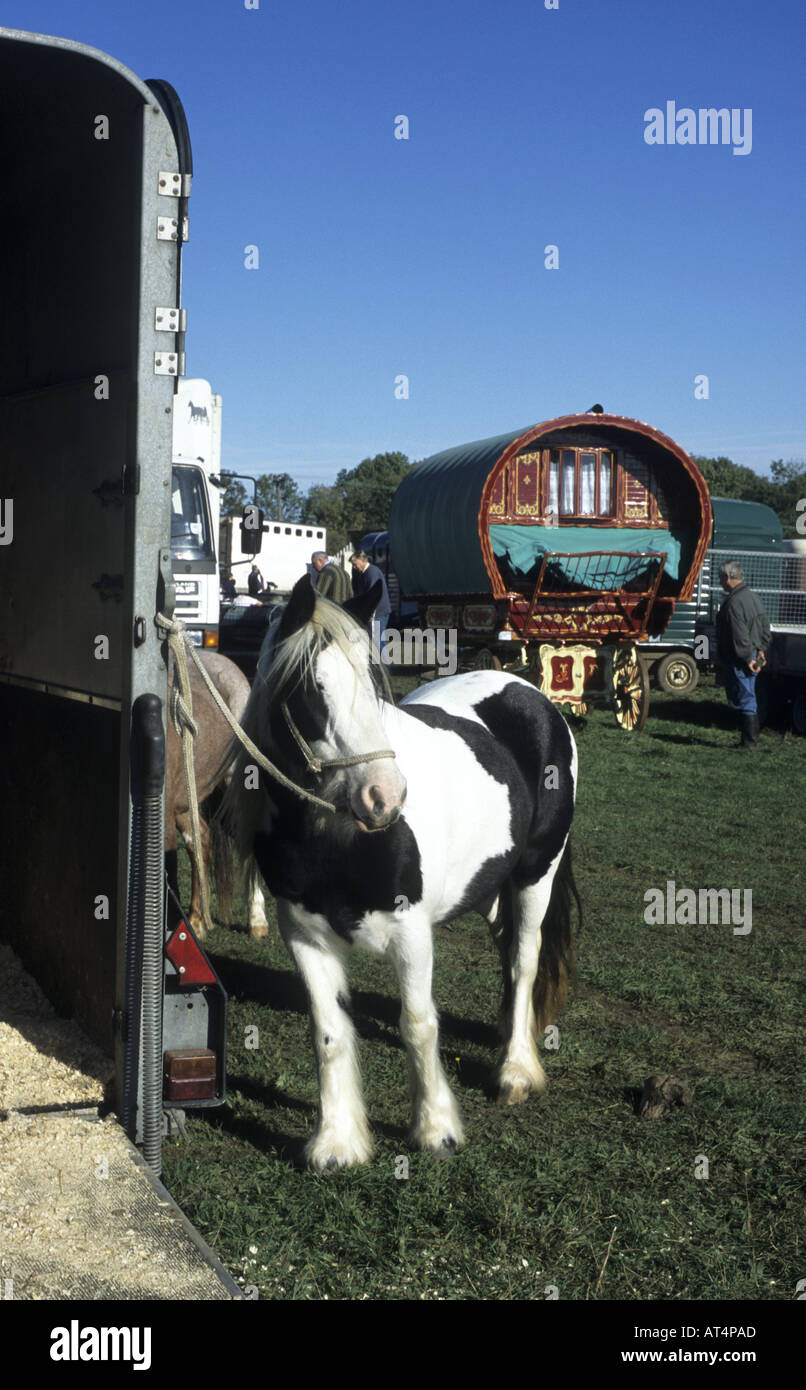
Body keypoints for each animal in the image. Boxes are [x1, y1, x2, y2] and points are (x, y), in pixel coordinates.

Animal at [219, 576, 579, 1170]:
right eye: (311, 689)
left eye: (373, 682)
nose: (384, 797)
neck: (338, 837)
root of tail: (529, 692)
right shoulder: (303, 933)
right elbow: (328, 1031)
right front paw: (337, 1141)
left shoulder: (411, 932)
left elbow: (417, 1023)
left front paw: (436, 1131)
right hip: (491, 885)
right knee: (507, 953)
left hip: (536, 876)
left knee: (524, 960)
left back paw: (516, 1070)